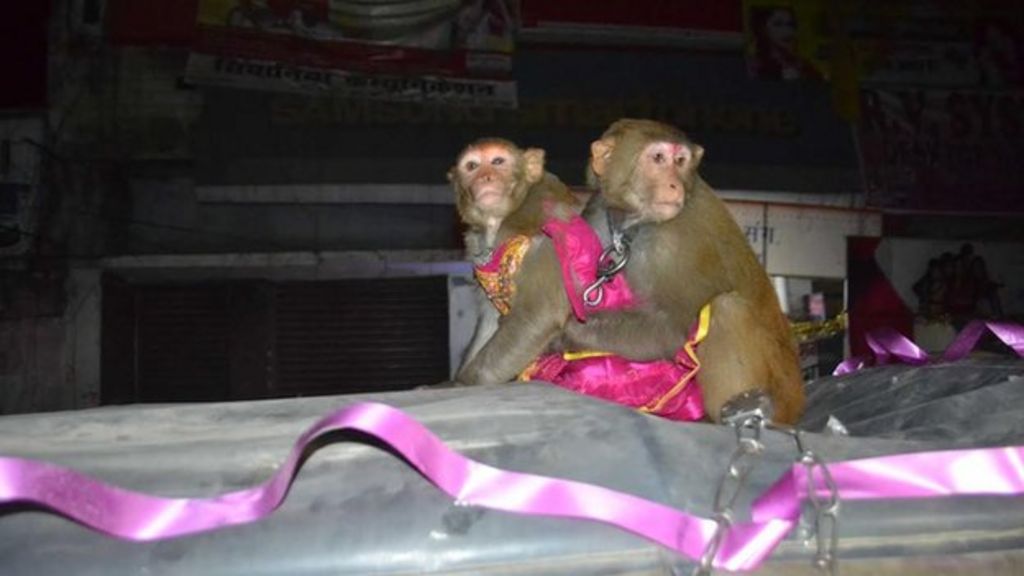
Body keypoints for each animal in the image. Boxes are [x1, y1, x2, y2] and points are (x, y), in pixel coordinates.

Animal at [559, 119, 806, 425]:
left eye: (680, 161)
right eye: (658, 158)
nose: (674, 185)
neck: (635, 224)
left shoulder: (673, 244)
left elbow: (668, 329)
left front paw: (558, 337)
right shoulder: (597, 210)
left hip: (783, 393)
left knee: (727, 309)